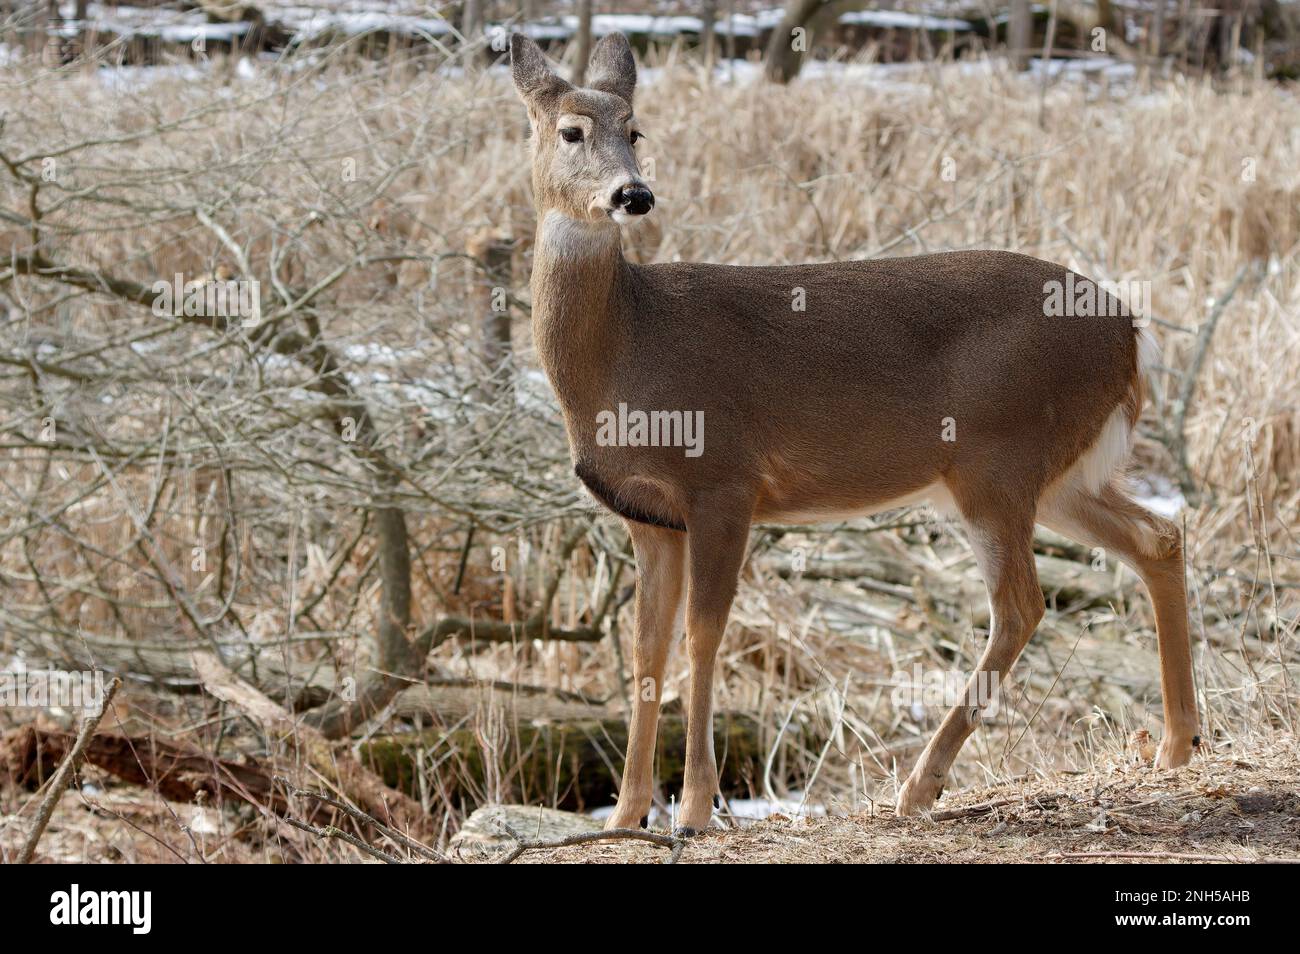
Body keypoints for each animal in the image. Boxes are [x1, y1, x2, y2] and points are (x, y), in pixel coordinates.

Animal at [507, 32, 1199, 834]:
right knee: (1158, 536)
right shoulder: (647, 516)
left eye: (635, 129)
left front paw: (696, 808)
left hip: (998, 458)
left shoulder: (724, 480)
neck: (627, 349)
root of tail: (1133, 334)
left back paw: (921, 785)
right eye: (571, 131)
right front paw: (624, 815)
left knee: (1022, 605)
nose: (634, 195)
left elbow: (703, 635)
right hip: (1058, 473)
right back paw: (1177, 744)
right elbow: (646, 649)